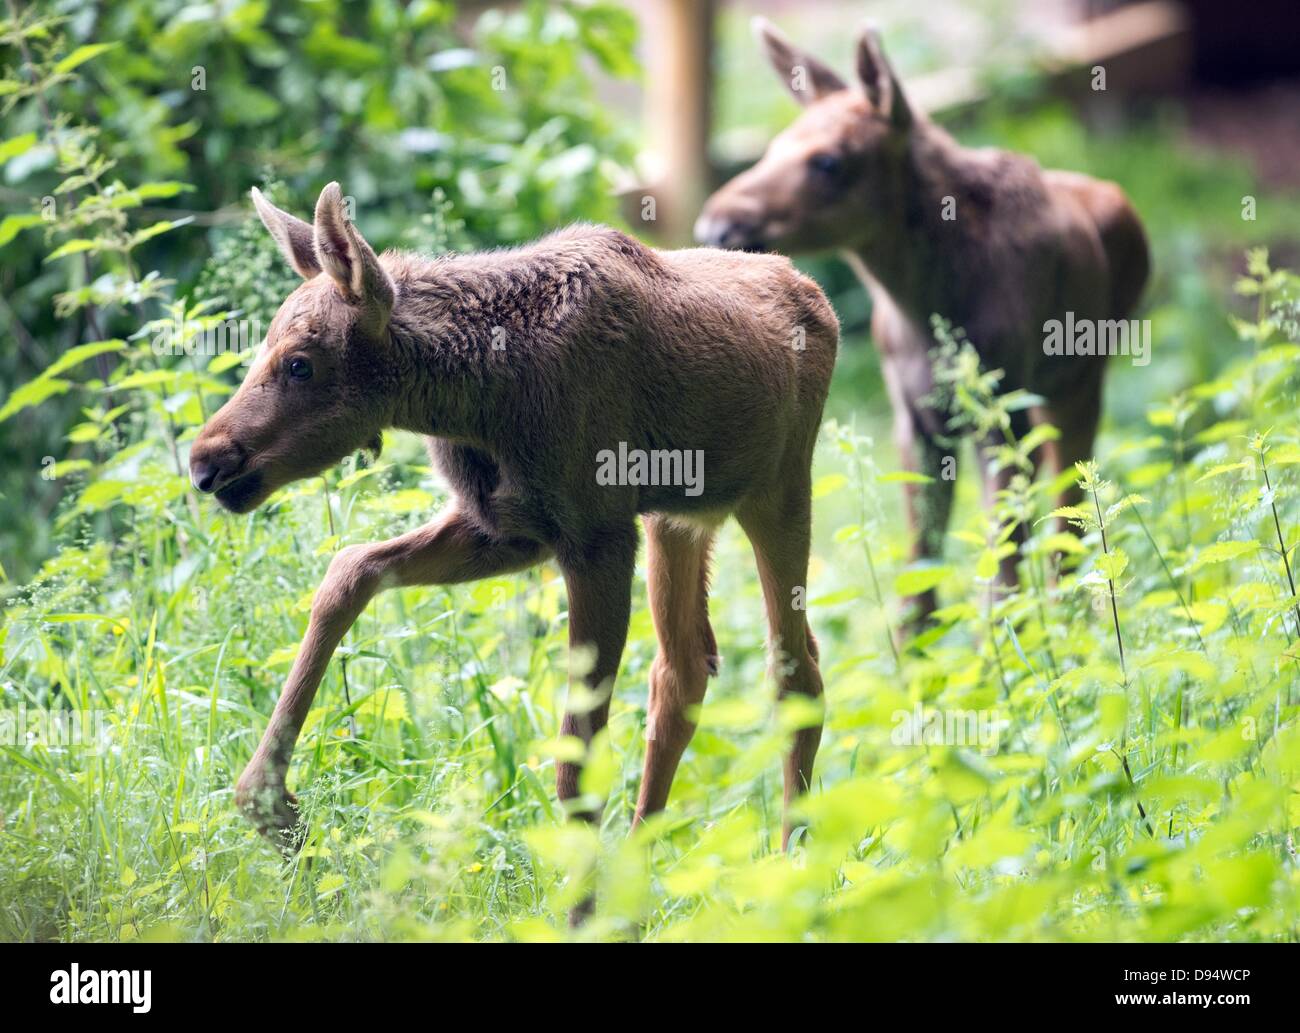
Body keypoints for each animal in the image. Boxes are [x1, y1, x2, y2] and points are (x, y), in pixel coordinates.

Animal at [188, 183, 839, 899]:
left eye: (300, 363)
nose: (205, 461)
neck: (476, 400)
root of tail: (815, 292)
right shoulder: (508, 530)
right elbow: (348, 569)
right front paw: (270, 805)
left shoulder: (596, 537)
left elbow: (576, 768)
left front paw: (583, 910)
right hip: (676, 518)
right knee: (684, 670)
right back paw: (641, 875)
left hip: (778, 489)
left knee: (797, 667)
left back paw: (795, 872)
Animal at [695, 20, 1150, 634]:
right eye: (771, 148)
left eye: (829, 161)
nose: (717, 224)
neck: (921, 303)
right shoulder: (916, 420)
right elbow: (921, 569)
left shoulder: (1001, 411)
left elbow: (1004, 562)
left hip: (1079, 381)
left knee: (1071, 509)